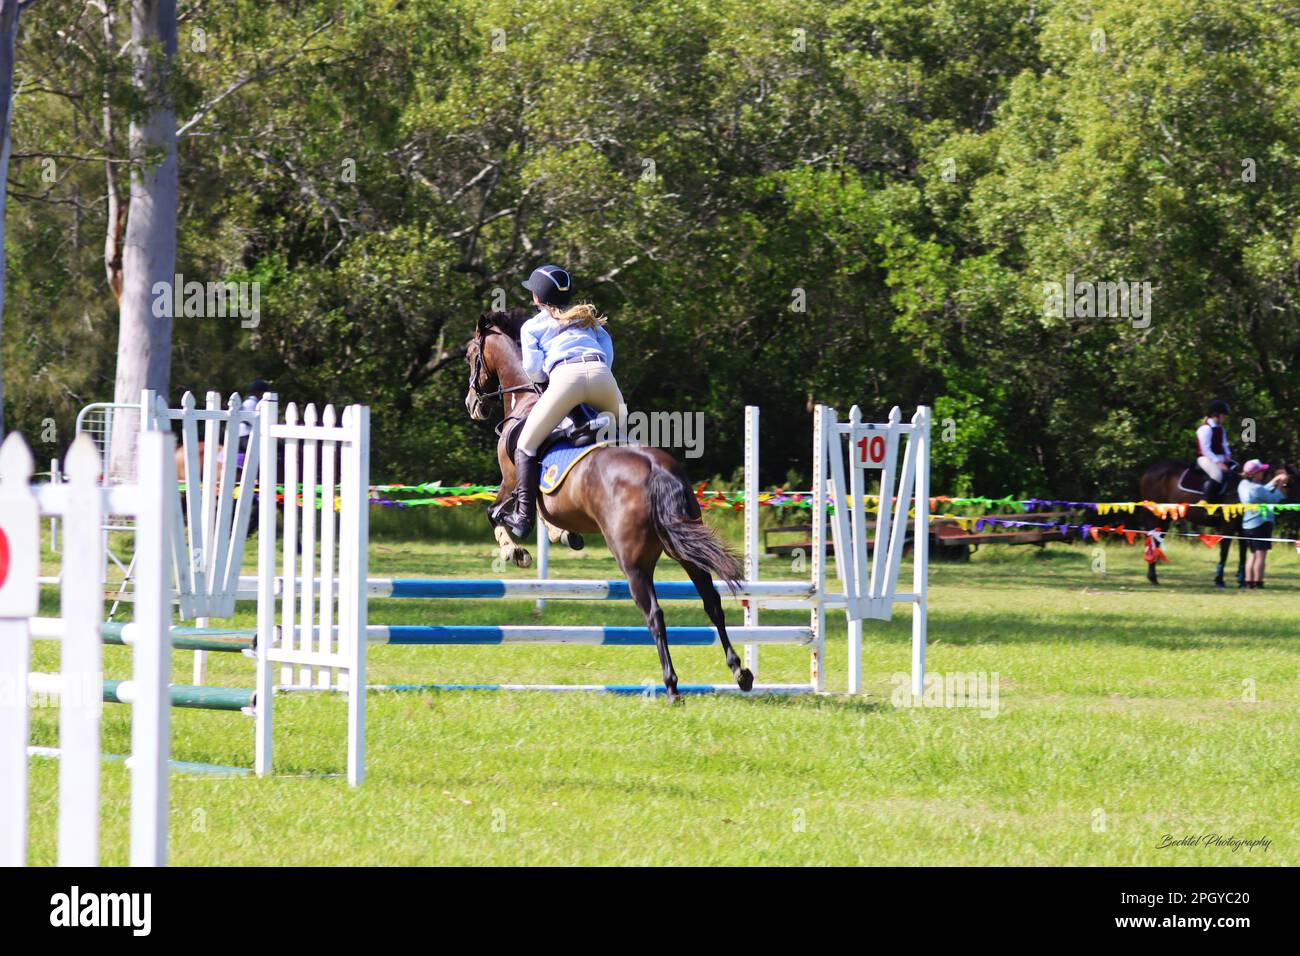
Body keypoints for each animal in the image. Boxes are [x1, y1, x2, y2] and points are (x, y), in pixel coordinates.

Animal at [464, 308, 752, 701]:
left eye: (470, 356)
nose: (472, 404)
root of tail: (657, 469)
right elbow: (540, 511)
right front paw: (561, 535)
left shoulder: (512, 477)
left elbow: (497, 512)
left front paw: (515, 549)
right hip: (682, 547)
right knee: (713, 603)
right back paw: (740, 672)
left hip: (632, 561)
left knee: (655, 614)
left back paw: (672, 687)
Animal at [1138, 459, 1299, 586]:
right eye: (1291, 482)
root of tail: (1151, 470)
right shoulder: (1228, 528)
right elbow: (1224, 552)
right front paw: (1219, 579)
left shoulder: (1242, 529)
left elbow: (1242, 553)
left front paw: (1241, 580)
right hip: (1155, 516)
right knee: (1152, 540)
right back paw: (1152, 576)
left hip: (1165, 517)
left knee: (1155, 540)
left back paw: (1153, 576)